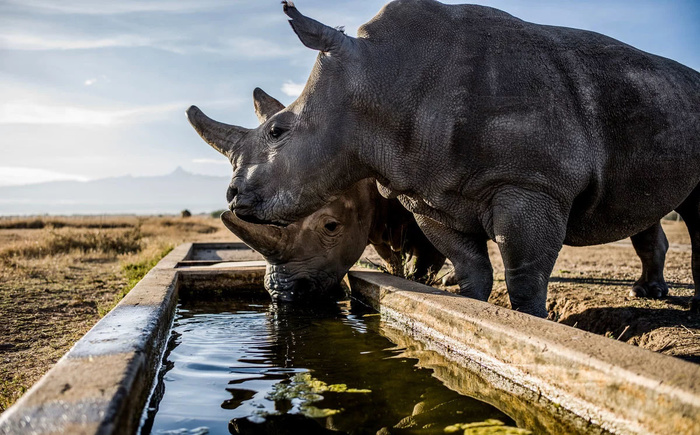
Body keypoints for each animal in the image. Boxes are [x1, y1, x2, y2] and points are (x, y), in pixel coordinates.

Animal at [216, 88, 445, 301]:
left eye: (331, 226)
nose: (282, 293)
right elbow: (388, 255)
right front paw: (396, 272)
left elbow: (427, 256)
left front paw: (418, 279)